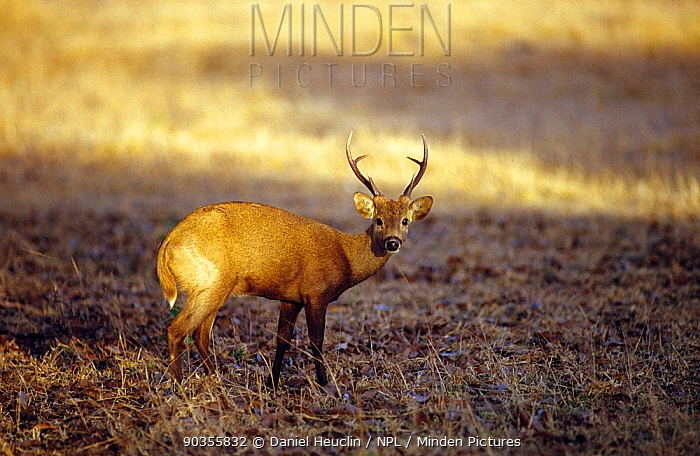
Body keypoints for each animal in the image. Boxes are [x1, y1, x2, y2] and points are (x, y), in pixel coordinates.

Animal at [156, 132, 433, 388]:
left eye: (405, 221)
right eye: (378, 220)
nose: (392, 242)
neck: (346, 257)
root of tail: (169, 241)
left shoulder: (290, 298)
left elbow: (282, 339)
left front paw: (273, 382)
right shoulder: (316, 293)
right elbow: (316, 341)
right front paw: (323, 383)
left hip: (213, 287)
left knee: (200, 333)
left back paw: (217, 379)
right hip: (210, 281)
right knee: (177, 330)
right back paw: (179, 385)